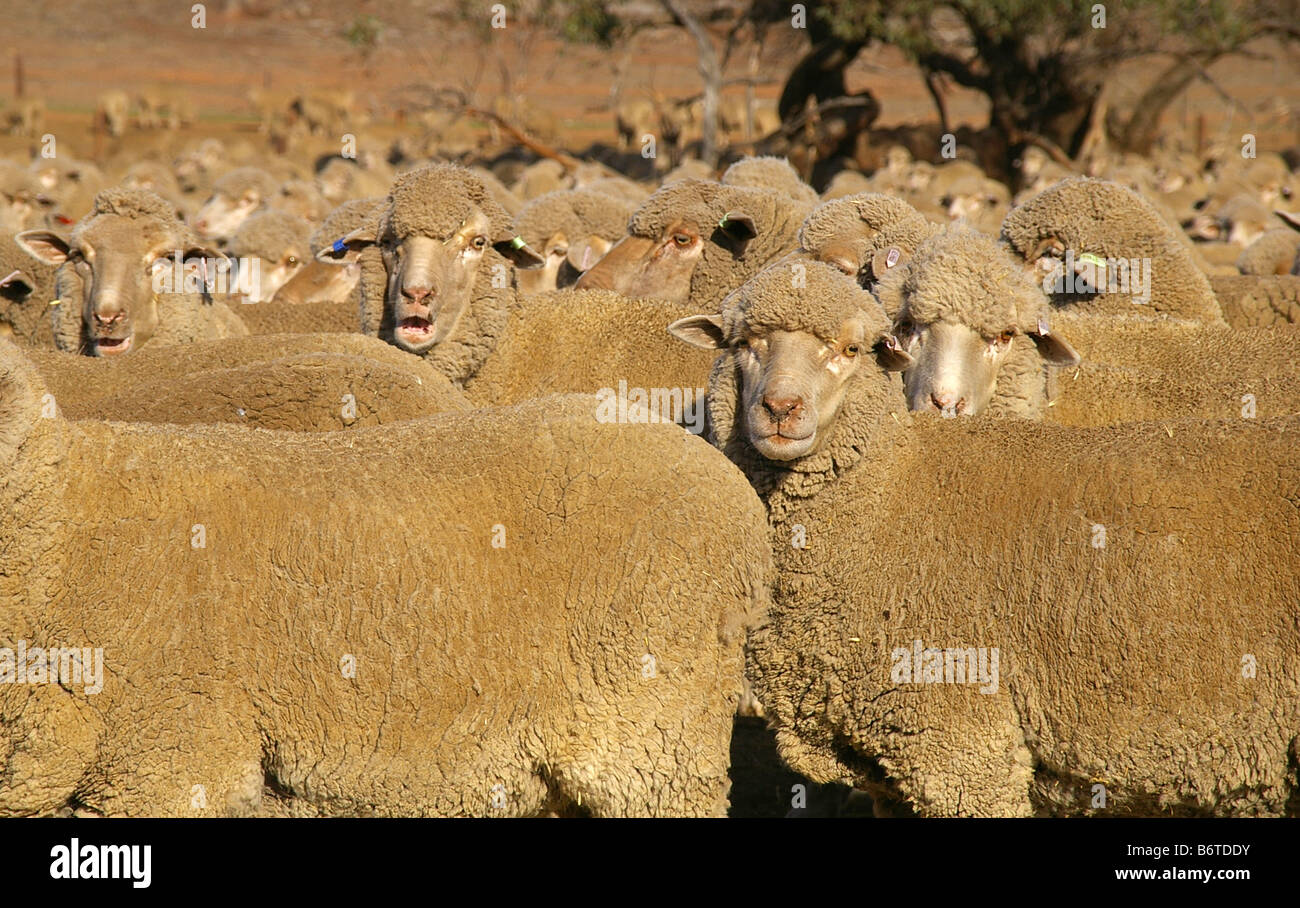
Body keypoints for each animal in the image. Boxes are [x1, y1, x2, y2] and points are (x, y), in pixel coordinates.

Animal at [668, 260, 1300, 816]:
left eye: (850, 350)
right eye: (743, 343)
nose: (781, 408)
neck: (883, 500)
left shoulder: (964, 748)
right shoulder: (891, 773)